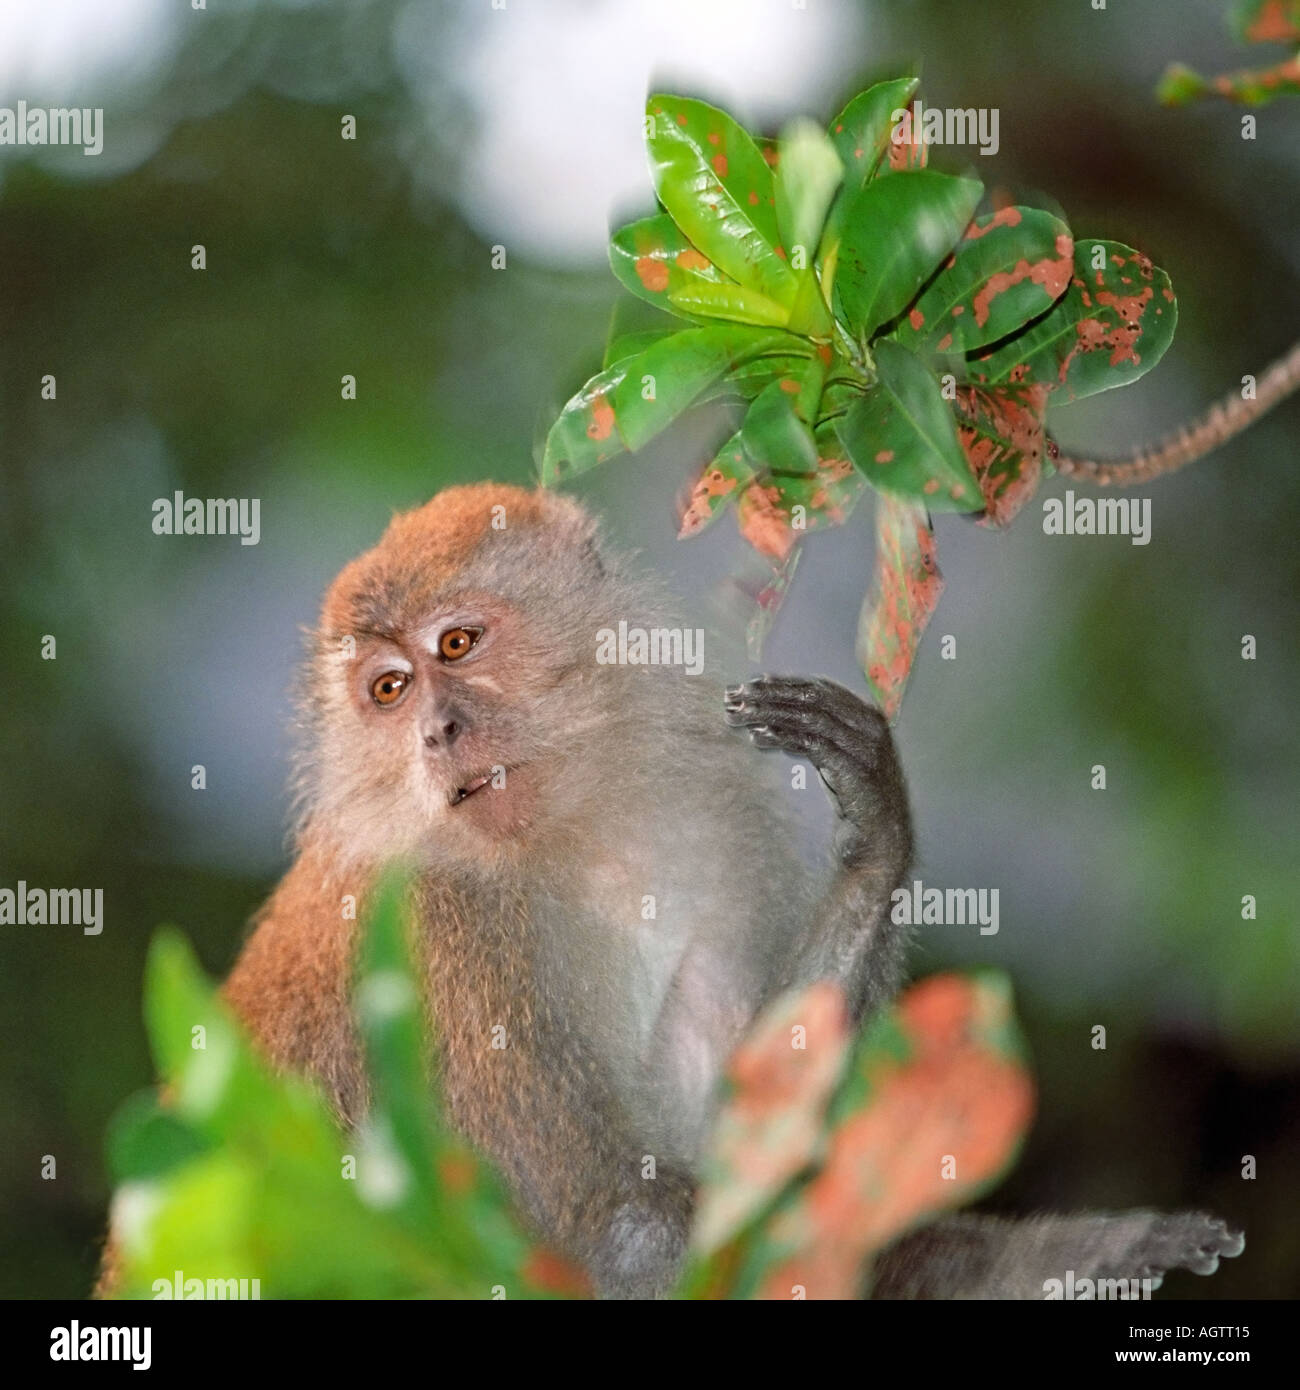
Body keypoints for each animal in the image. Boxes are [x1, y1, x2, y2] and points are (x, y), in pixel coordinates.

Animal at [139, 482, 1241, 1299]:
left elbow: (747, 1145)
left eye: (454, 645)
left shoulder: (705, 834)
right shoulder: (440, 928)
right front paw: (1046, 1257)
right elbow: (626, 1236)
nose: (435, 733)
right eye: (387, 691)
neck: (569, 841)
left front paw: (876, 837)